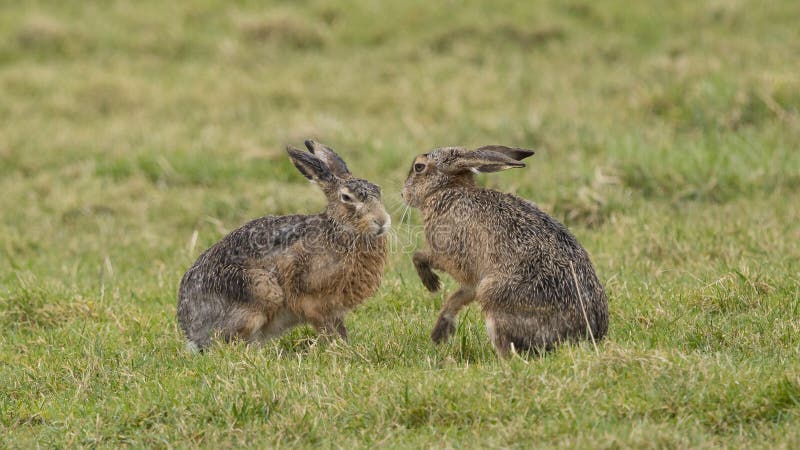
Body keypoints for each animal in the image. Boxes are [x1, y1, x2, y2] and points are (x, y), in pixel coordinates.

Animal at [178, 140, 391, 351]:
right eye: (346, 198)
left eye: (378, 191)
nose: (381, 221)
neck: (339, 229)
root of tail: (192, 332)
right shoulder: (313, 302)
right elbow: (326, 330)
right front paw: (337, 350)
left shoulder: (335, 311)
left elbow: (341, 330)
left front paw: (346, 347)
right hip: (262, 289)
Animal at [402, 145, 608, 356]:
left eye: (419, 167)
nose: (404, 194)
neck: (447, 190)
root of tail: (584, 335)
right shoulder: (475, 279)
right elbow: (460, 295)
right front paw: (440, 331)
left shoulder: (452, 255)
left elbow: (419, 256)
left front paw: (432, 284)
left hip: (495, 300)